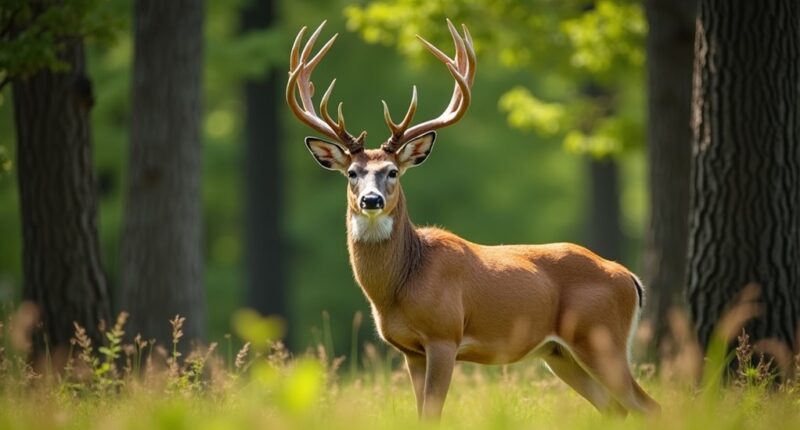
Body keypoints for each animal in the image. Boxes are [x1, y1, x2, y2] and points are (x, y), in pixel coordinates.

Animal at [286, 20, 661, 420]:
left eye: (392, 172)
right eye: (352, 173)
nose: (371, 200)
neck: (401, 283)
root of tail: (630, 279)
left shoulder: (444, 335)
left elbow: (433, 412)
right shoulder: (410, 350)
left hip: (601, 338)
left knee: (649, 405)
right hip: (559, 353)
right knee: (617, 409)